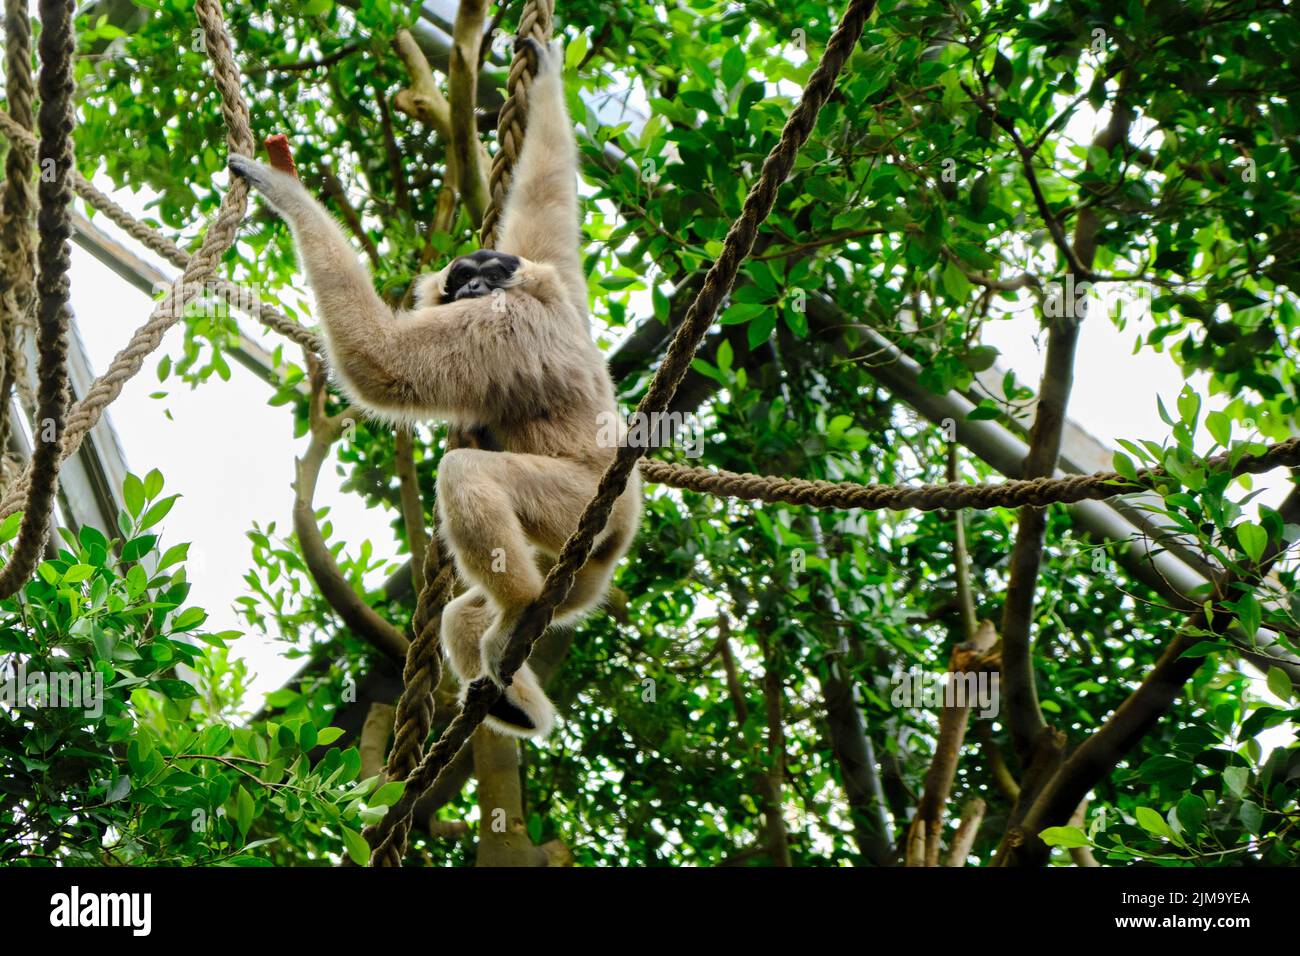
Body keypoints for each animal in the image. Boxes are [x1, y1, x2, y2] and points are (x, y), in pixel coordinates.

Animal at [228, 38, 641, 738]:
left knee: (467, 474)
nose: (472, 285)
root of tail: (620, 534)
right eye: (464, 276)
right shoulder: (553, 277)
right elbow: (549, 200)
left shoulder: (499, 322)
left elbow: (382, 363)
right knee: (462, 613)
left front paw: (284, 189)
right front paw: (547, 75)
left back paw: (516, 610)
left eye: (488, 274)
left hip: (581, 502)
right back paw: (515, 697)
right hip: (577, 565)